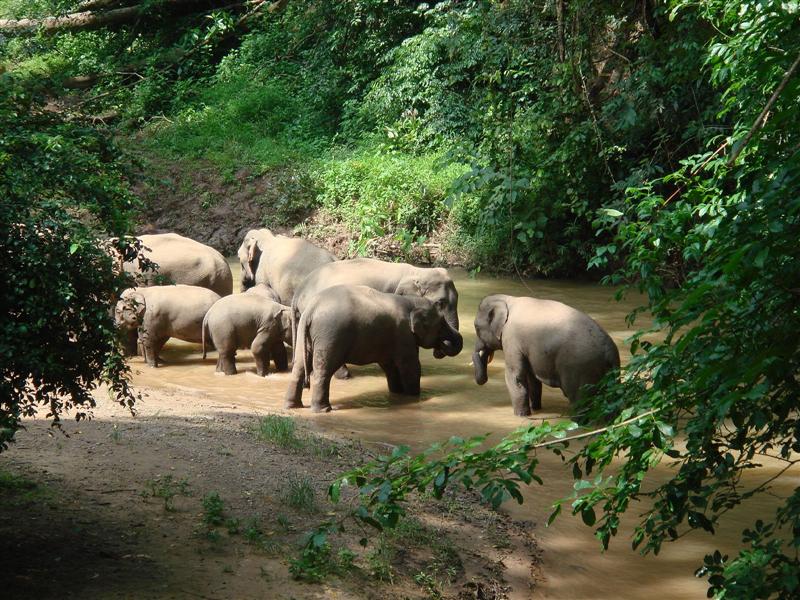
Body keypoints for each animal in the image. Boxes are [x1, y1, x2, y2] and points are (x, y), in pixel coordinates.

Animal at [284, 285, 463, 413]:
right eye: (441, 323)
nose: (442, 346)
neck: (409, 301)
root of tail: (311, 309)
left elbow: (391, 368)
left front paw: (398, 394)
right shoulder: (404, 335)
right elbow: (411, 367)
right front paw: (414, 396)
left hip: (304, 335)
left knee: (298, 368)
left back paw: (292, 406)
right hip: (329, 336)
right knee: (323, 371)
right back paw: (323, 410)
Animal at [472, 294, 620, 416]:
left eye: (476, 327)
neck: (508, 299)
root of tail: (610, 352)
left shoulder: (511, 339)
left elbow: (515, 376)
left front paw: (521, 415)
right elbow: (532, 379)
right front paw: (536, 409)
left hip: (580, 370)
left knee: (579, 401)